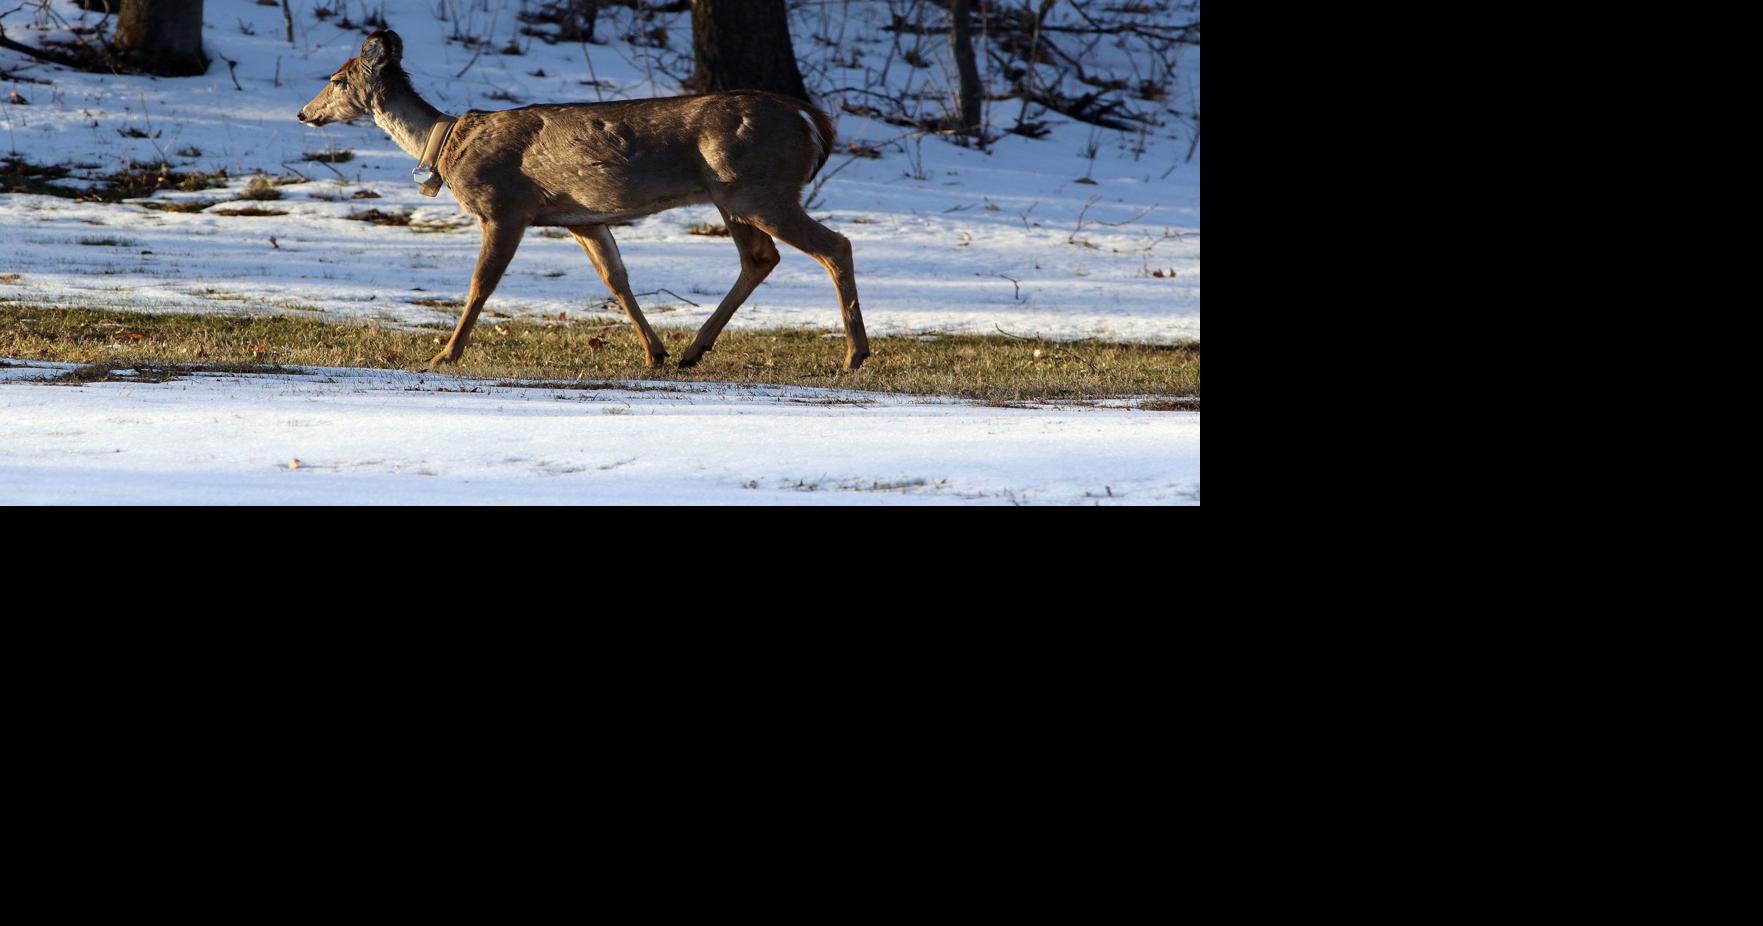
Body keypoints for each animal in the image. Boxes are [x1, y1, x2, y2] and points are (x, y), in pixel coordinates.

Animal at [296, 30, 869, 372]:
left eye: (336, 79)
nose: (304, 113)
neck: (445, 145)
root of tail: (812, 122)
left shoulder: (505, 206)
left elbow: (481, 284)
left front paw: (445, 354)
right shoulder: (582, 219)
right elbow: (616, 280)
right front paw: (654, 352)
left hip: (758, 188)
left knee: (834, 245)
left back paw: (854, 355)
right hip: (733, 196)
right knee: (760, 258)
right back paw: (691, 350)